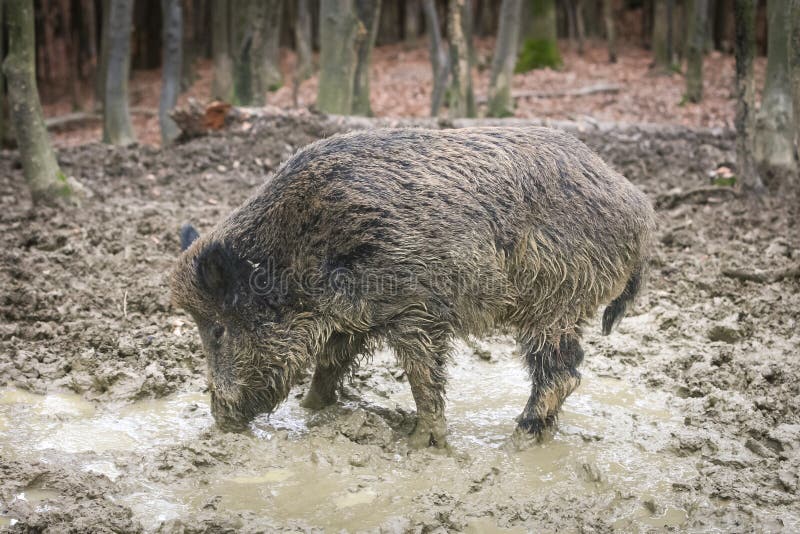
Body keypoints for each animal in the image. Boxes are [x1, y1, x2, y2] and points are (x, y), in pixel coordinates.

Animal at [170, 127, 655, 448]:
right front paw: (310, 411)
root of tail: (641, 211)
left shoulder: (415, 311)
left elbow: (423, 378)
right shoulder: (354, 320)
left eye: (217, 329)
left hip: (553, 305)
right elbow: (329, 364)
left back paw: (517, 438)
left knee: (562, 372)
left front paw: (422, 444)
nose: (220, 420)